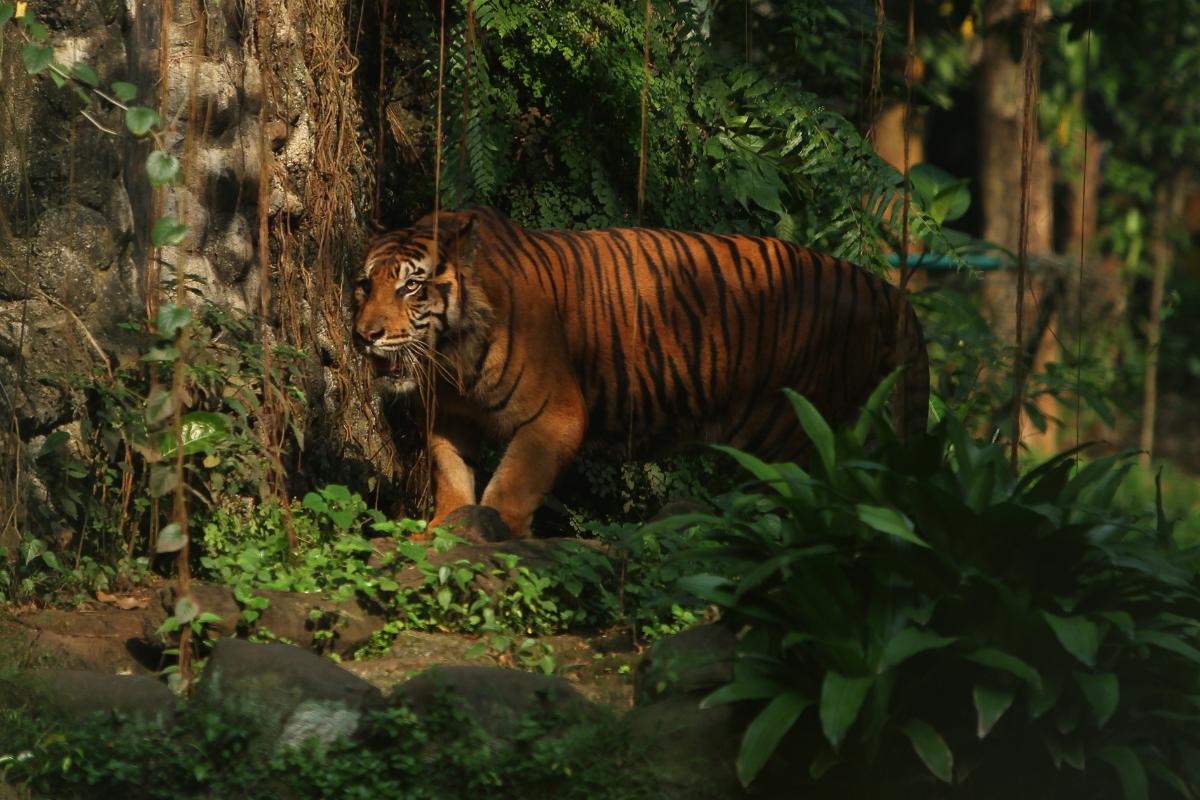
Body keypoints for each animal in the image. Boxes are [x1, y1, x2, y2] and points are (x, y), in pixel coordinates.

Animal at [353, 207, 928, 540]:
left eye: (411, 286)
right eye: (364, 285)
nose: (364, 336)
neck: (453, 357)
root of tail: (882, 288)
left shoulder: (556, 414)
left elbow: (510, 487)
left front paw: (489, 538)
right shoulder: (451, 417)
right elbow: (452, 477)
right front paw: (439, 531)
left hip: (796, 430)